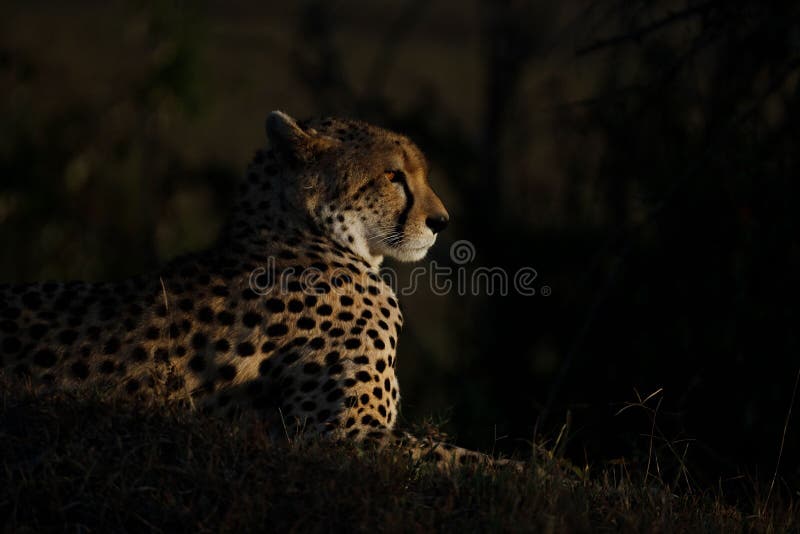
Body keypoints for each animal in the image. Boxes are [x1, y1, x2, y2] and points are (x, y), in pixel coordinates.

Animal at [0, 111, 518, 469]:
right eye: (393, 175)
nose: (441, 221)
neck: (310, 235)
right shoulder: (337, 435)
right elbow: (462, 459)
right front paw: (535, 476)